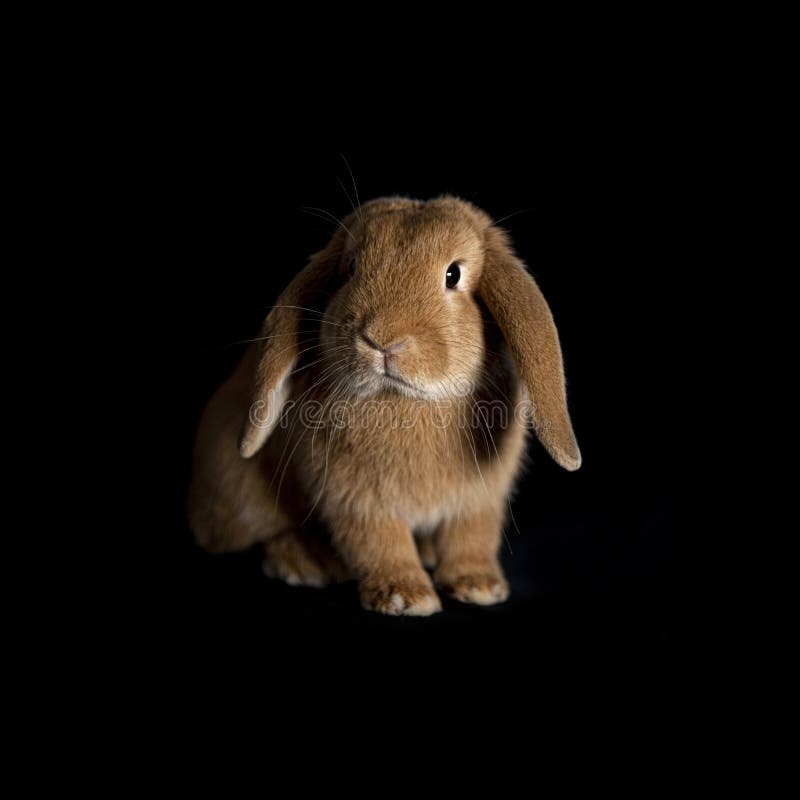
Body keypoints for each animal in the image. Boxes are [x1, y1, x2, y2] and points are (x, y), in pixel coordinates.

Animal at [188, 196, 580, 616]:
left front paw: (480, 586)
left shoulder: (480, 496)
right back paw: (305, 561)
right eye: (352, 267)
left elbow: (472, 536)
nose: (381, 339)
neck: (405, 399)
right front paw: (405, 596)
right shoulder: (356, 498)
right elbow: (378, 543)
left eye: (453, 275)